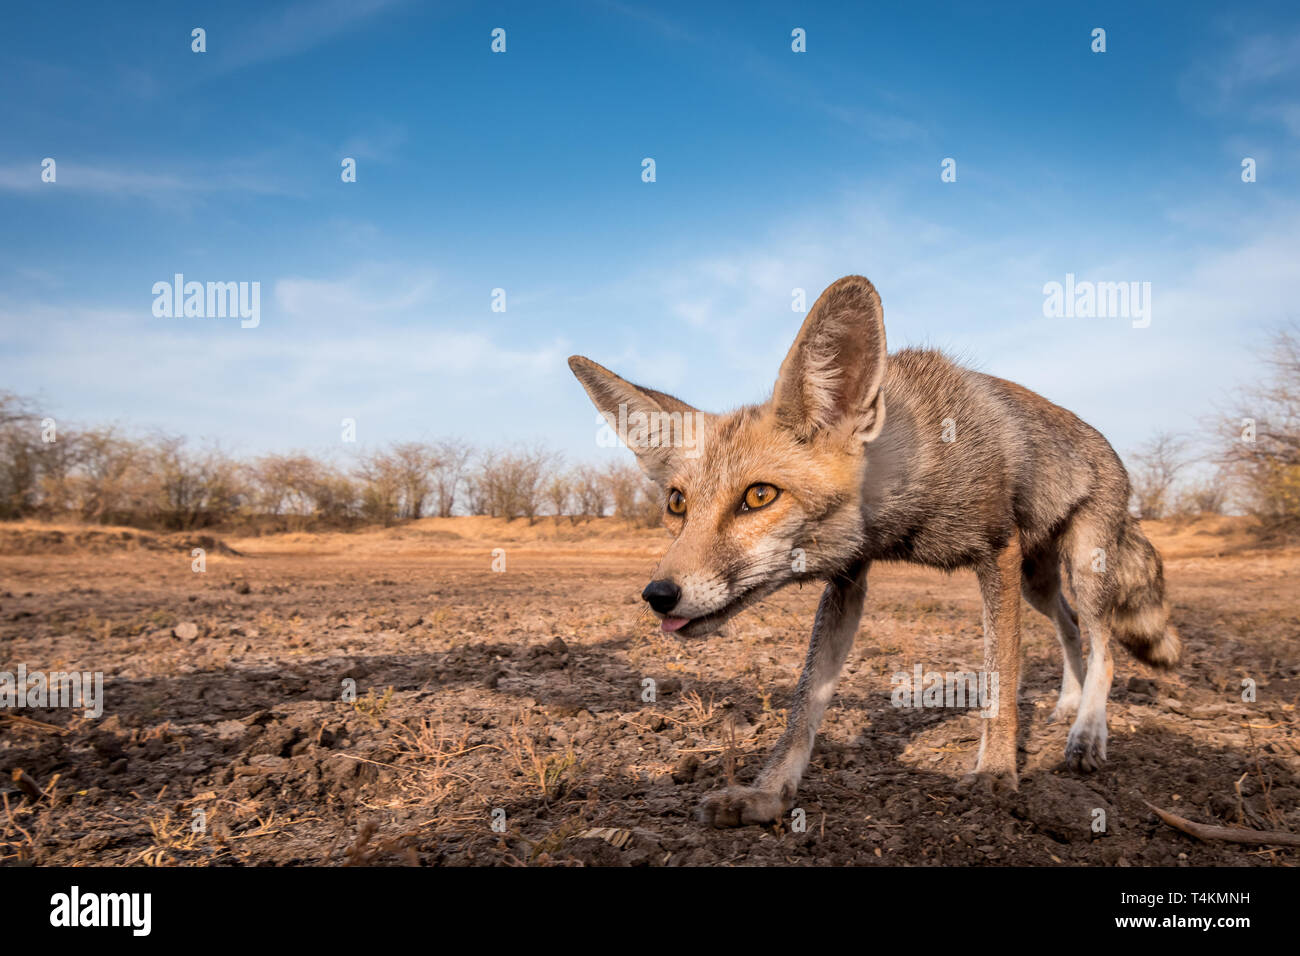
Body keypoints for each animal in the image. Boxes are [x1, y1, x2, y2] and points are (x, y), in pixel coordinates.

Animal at [568, 275, 1180, 827]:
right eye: (677, 504)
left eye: (759, 496)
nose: (657, 595)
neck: (901, 517)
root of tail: (1111, 452)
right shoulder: (848, 580)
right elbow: (804, 704)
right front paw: (769, 795)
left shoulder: (997, 551)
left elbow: (1001, 681)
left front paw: (996, 772)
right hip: (1039, 584)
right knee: (1071, 631)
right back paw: (1068, 707)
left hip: (1081, 568)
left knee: (1103, 646)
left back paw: (1088, 733)